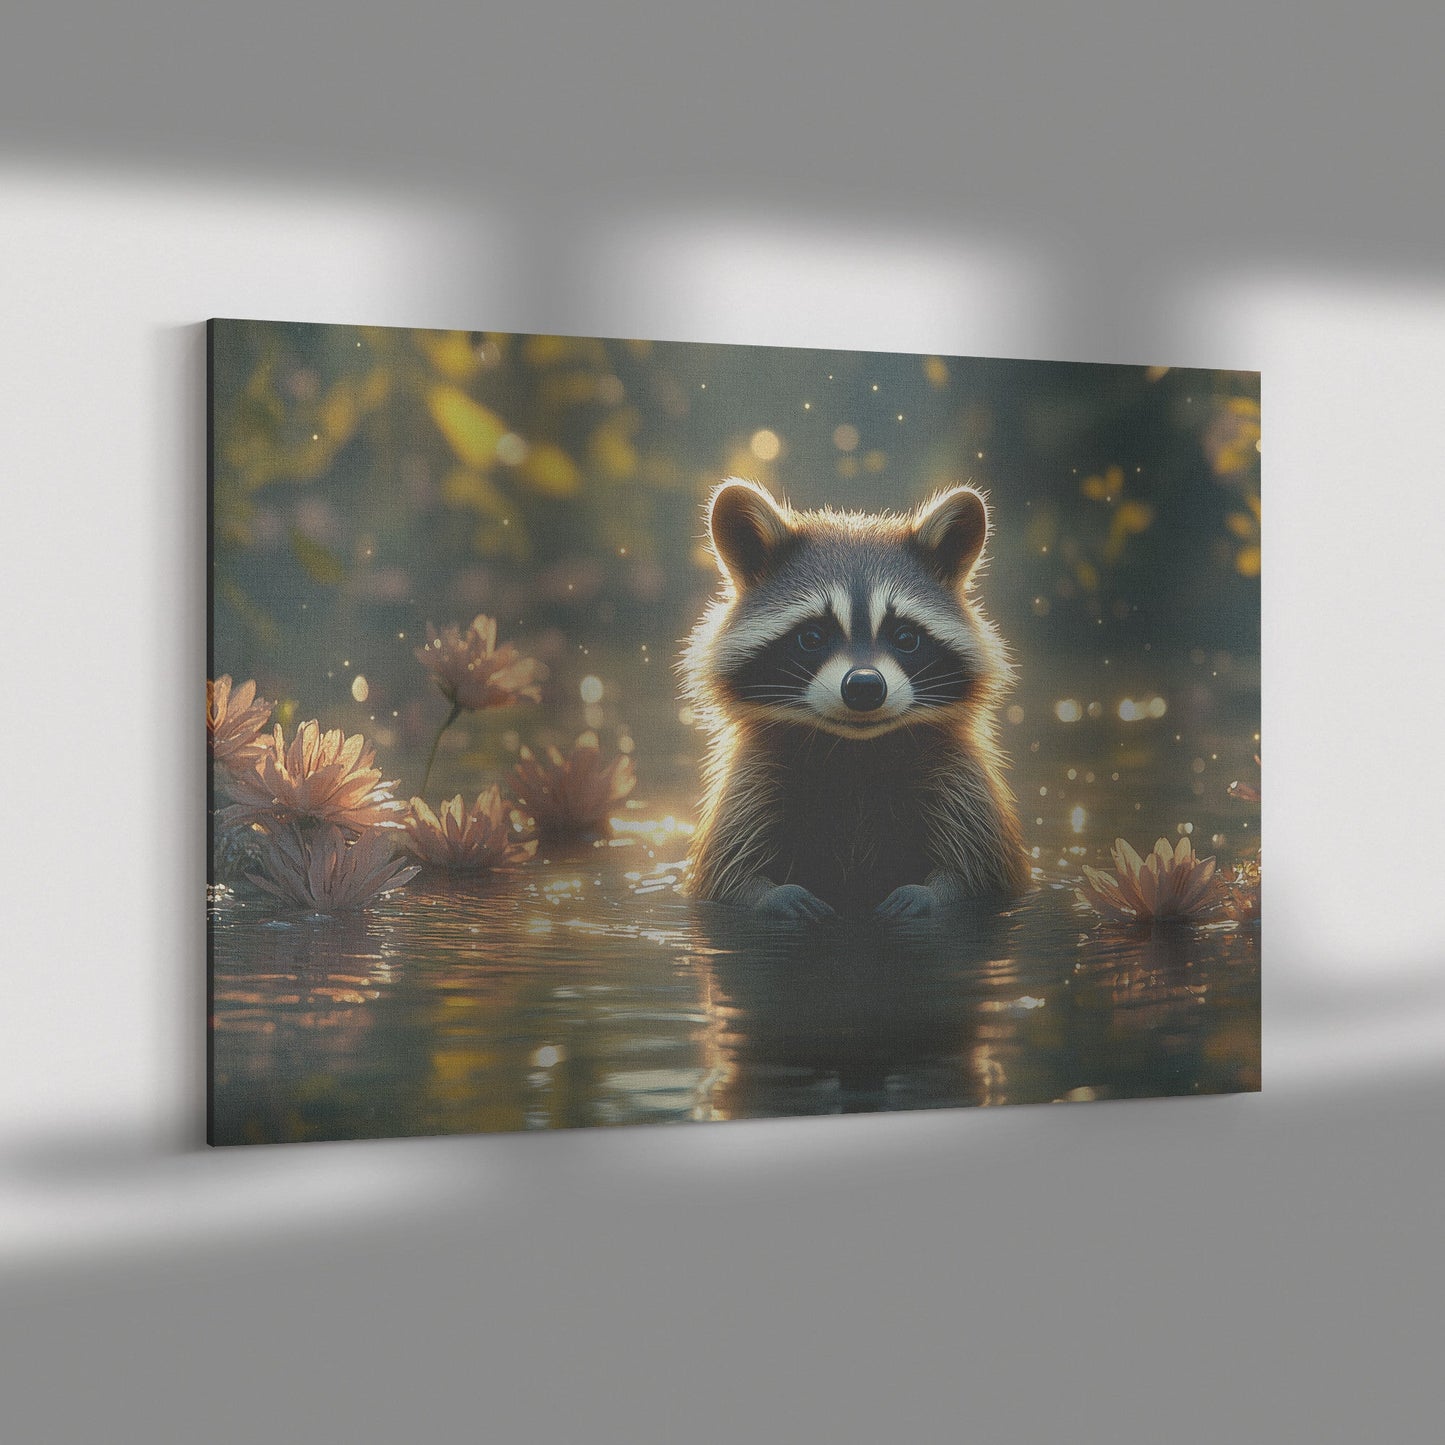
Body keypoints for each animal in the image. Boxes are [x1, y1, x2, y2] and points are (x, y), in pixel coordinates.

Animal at [680, 478, 1029, 921]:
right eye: (812, 637)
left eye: (905, 637)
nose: (864, 685)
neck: (855, 751)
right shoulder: (751, 783)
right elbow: (728, 876)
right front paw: (770, 896)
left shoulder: (961, 782)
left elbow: (979, 875)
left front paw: (934, 894)